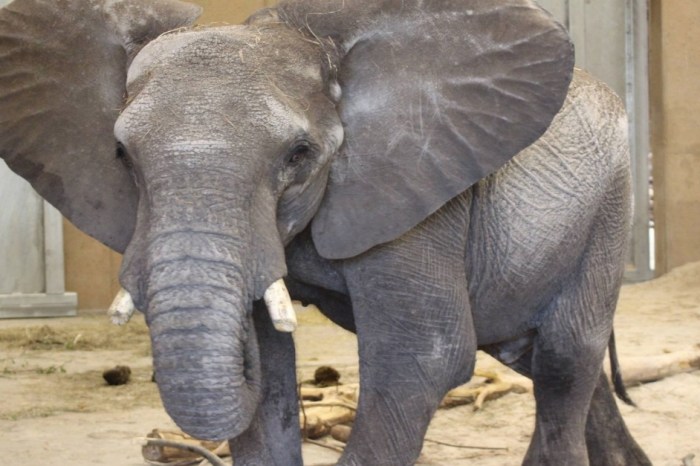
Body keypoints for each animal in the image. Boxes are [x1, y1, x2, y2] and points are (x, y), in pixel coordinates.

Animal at [0, 0, 653, 464]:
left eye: (299, 154)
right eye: (121, 154)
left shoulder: (416, 195)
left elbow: (424, 357)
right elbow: (271, 372)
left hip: (608, 211)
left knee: (565, 362)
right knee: (541, 362)